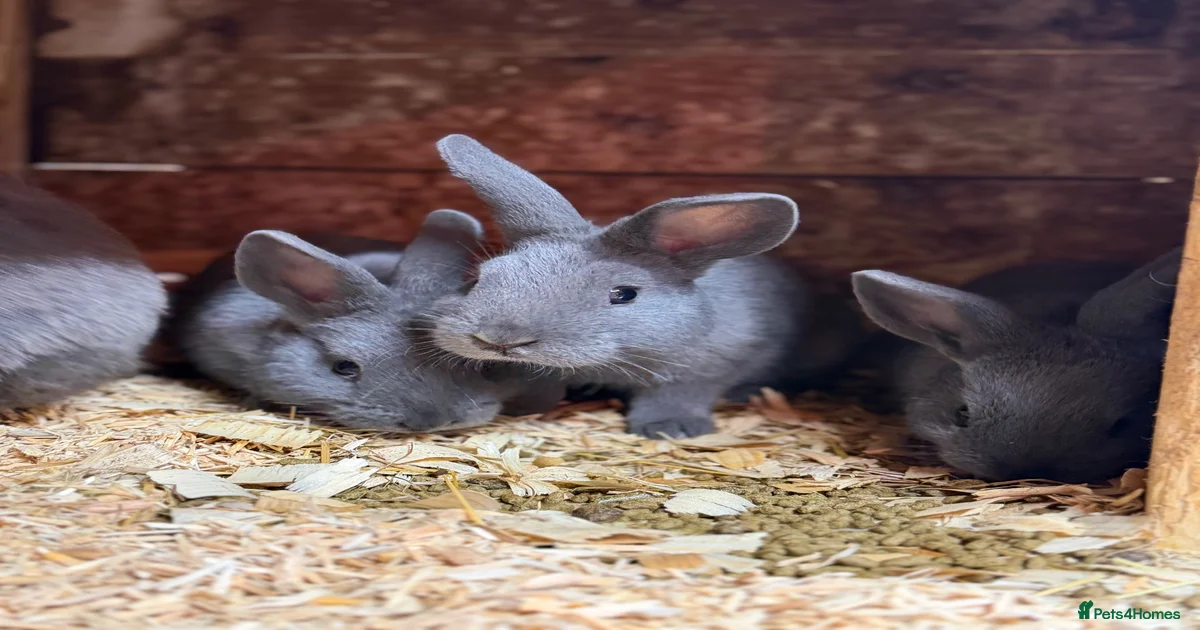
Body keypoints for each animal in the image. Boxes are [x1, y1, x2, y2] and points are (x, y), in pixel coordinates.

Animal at [427, 134, 862, 438]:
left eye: (624, 295)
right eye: (483, 276)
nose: (498, 338)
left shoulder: (714, 363)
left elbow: (678, 393)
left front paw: (670, 427)